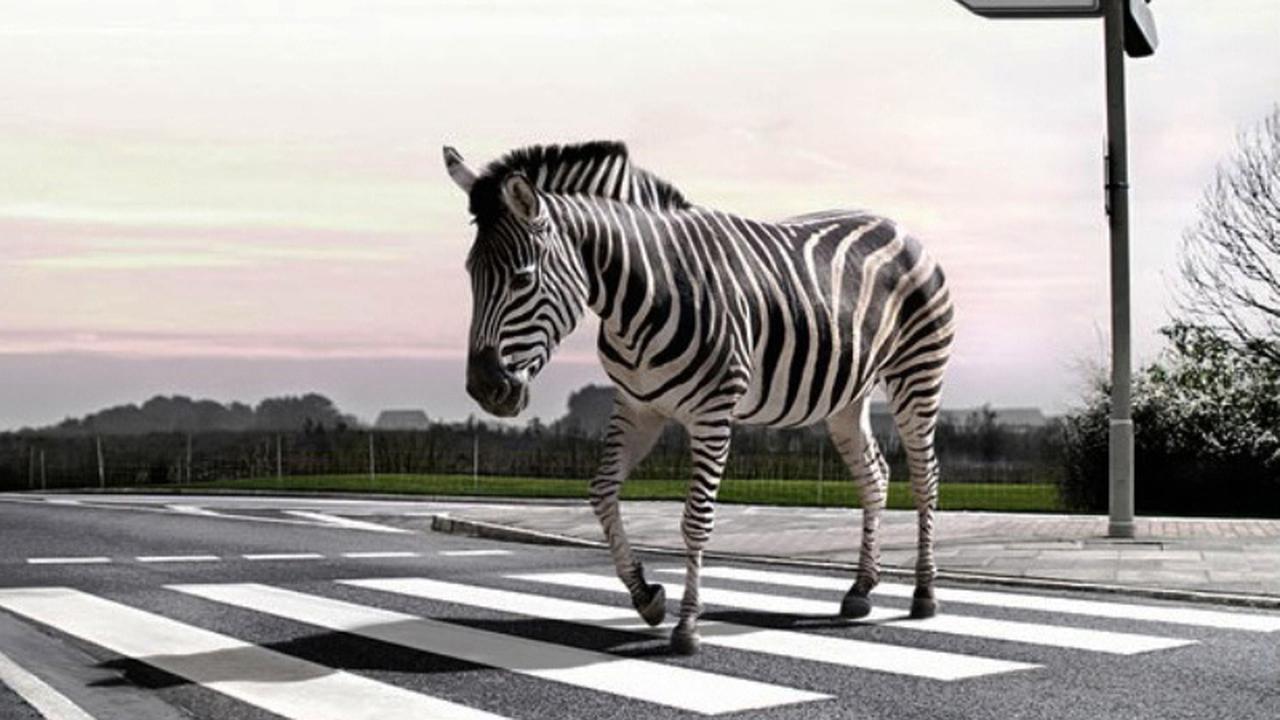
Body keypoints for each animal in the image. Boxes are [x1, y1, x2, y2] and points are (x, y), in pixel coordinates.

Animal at [445, 141, 954, 655]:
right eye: (469, 273)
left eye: (521, 279)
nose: (484, 388)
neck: (641, 297)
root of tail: (898, 226)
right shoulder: (637, 408)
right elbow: (602, 493)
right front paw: (646, 595)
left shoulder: (713, 412)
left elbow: (696, 519)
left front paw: (687, 625)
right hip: (847, 398)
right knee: (875, 476)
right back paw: (860, 589)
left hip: (917, 374)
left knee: (926, 477)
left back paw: (924, 594)